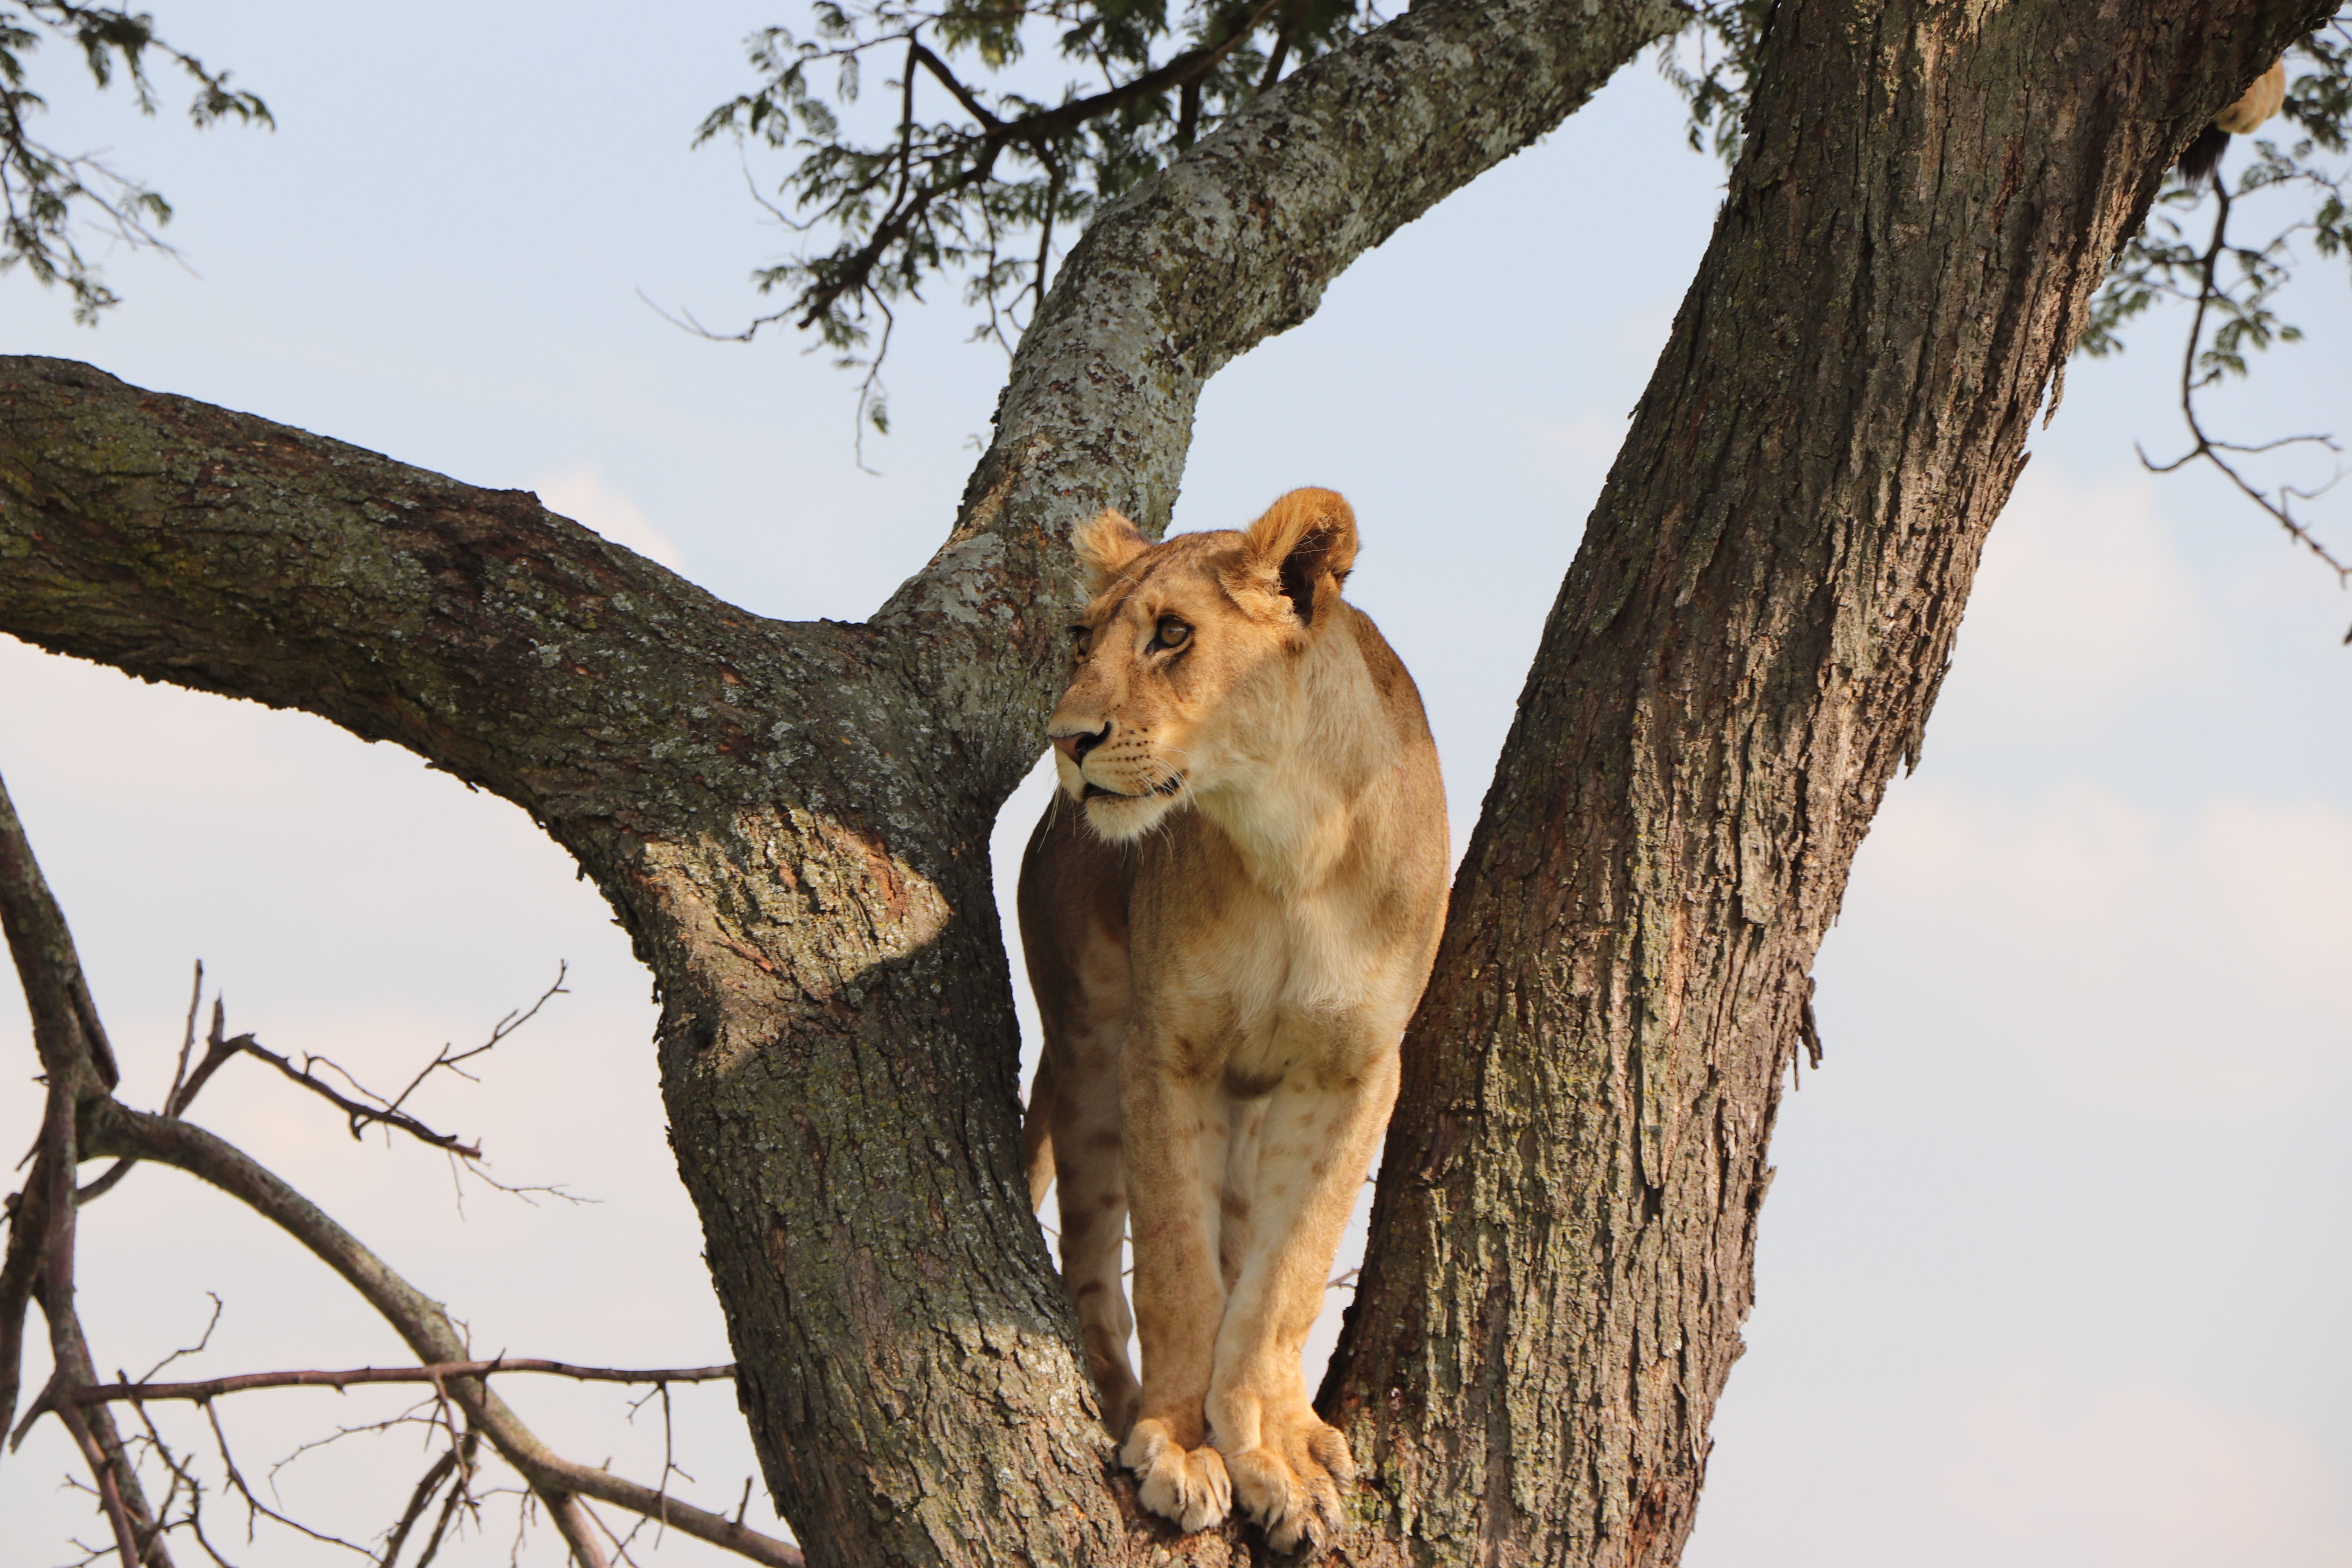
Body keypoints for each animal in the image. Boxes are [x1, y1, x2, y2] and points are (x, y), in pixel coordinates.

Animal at [1015, 487, 1449, 1550]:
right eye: (1081, 638)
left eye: (1173, 634)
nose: (1067, 739)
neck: (1289, 840)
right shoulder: (1164, 1049)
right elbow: (1174, 1263)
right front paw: (1178, 1439)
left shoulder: (1352, 1070)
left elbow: (1283, 1275)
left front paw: (1278, 1450)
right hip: (1090, 1039)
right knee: (1093, 1259)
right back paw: (1125, 1402)